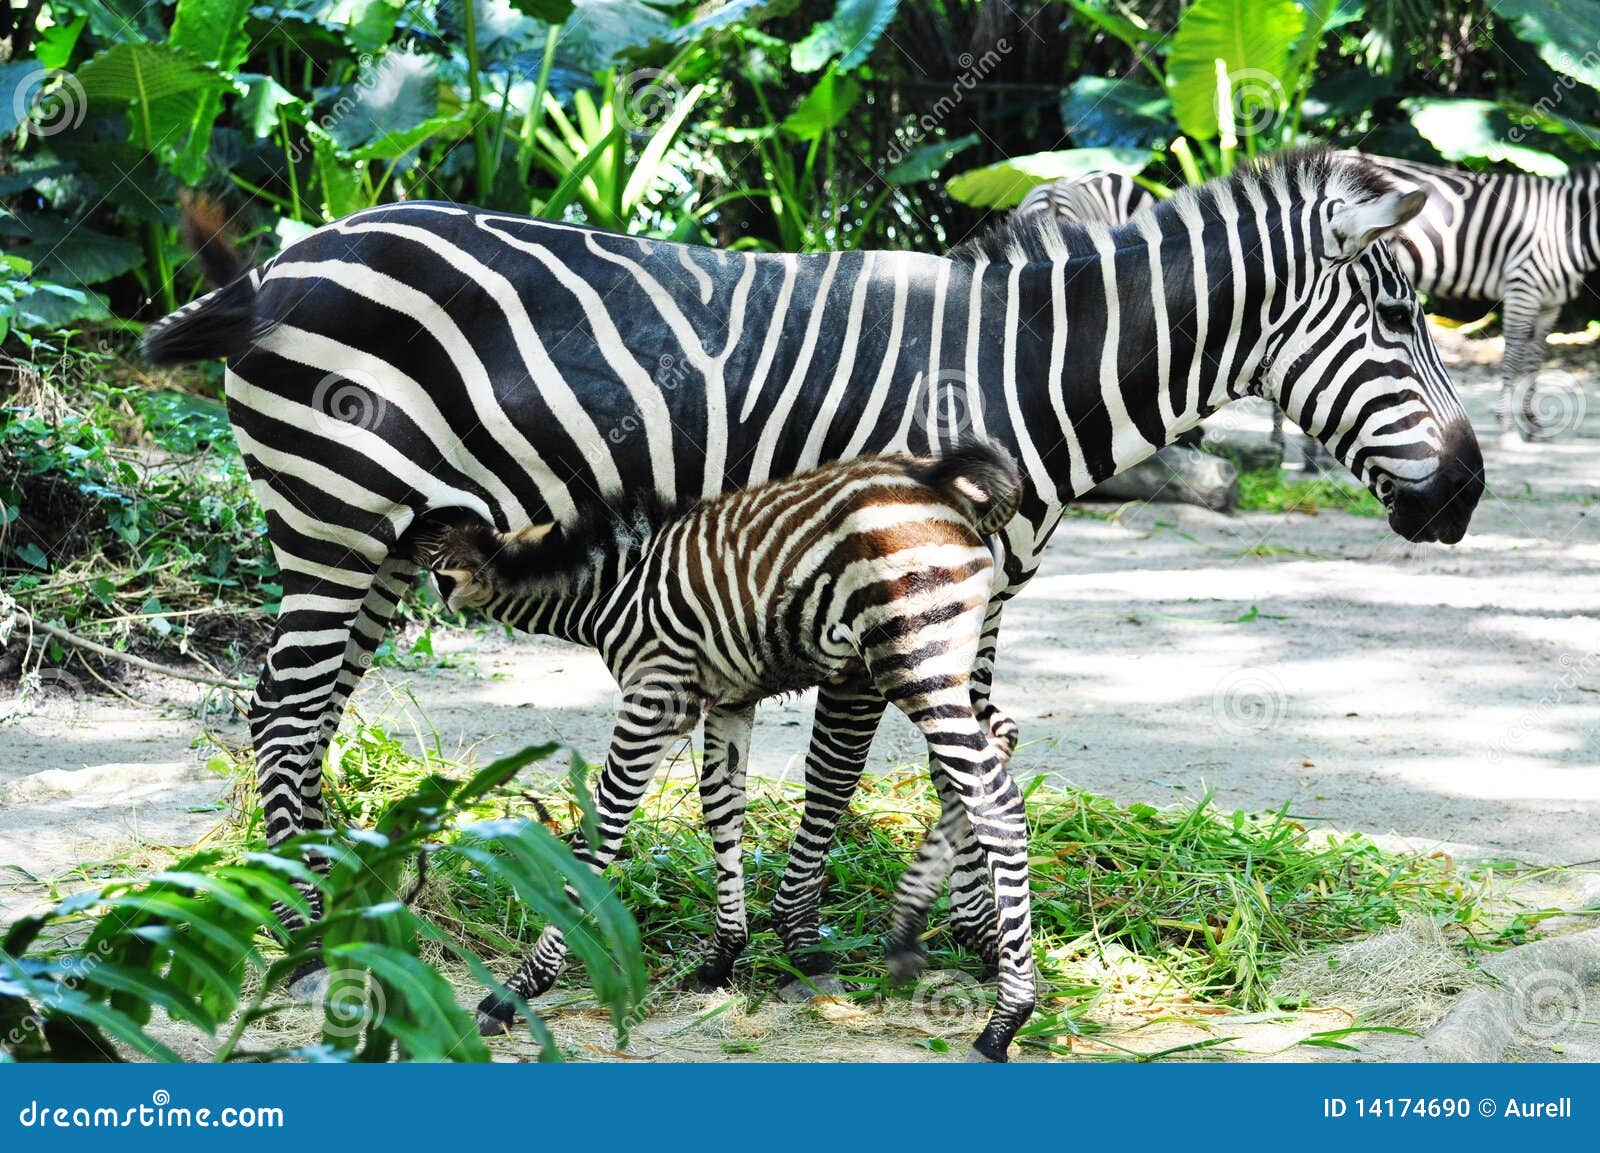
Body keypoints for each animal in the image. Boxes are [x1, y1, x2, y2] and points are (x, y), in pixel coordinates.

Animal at [412, 443, 1029, 1058]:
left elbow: (601, 828)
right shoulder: (730, 699)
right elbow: (722, 808)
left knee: (995, 801)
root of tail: (938, 483)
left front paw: (516, 991)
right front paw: (721, 957)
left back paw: (1003, 1022)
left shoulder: (656, 698)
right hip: (945, 662)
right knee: (994, 747)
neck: (610, 591)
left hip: (913, 660)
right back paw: (916, 933)